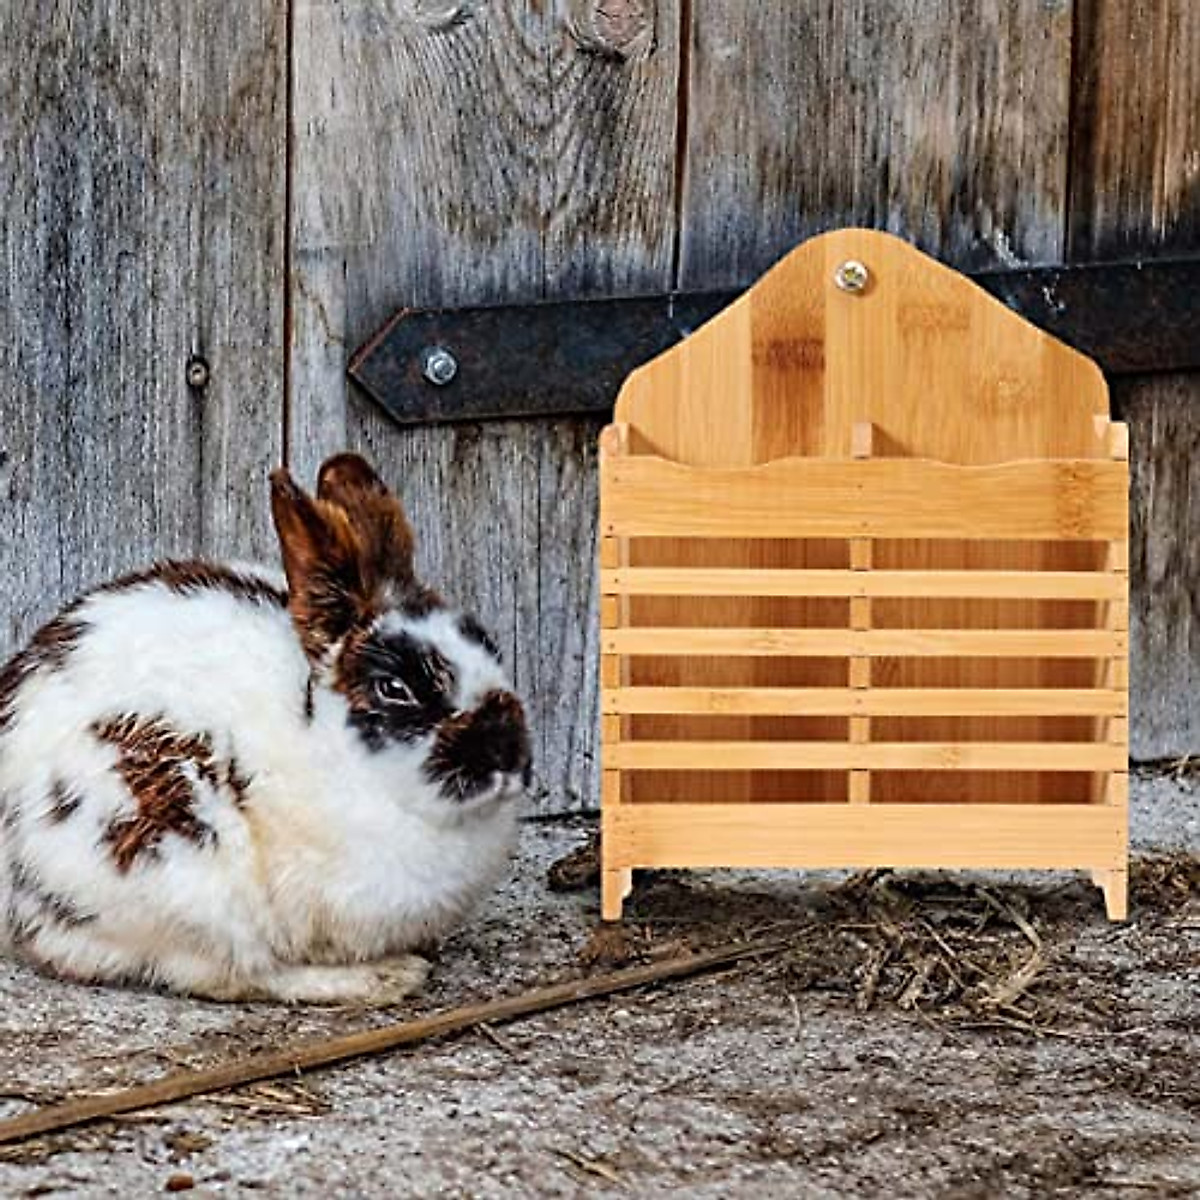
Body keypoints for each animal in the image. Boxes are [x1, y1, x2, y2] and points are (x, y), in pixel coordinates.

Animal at [0, 453, 530, 1004]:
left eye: (489, 645)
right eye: (394, 688)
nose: (507, 755)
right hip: (182, 863)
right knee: (239, 972)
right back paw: (383, 977)